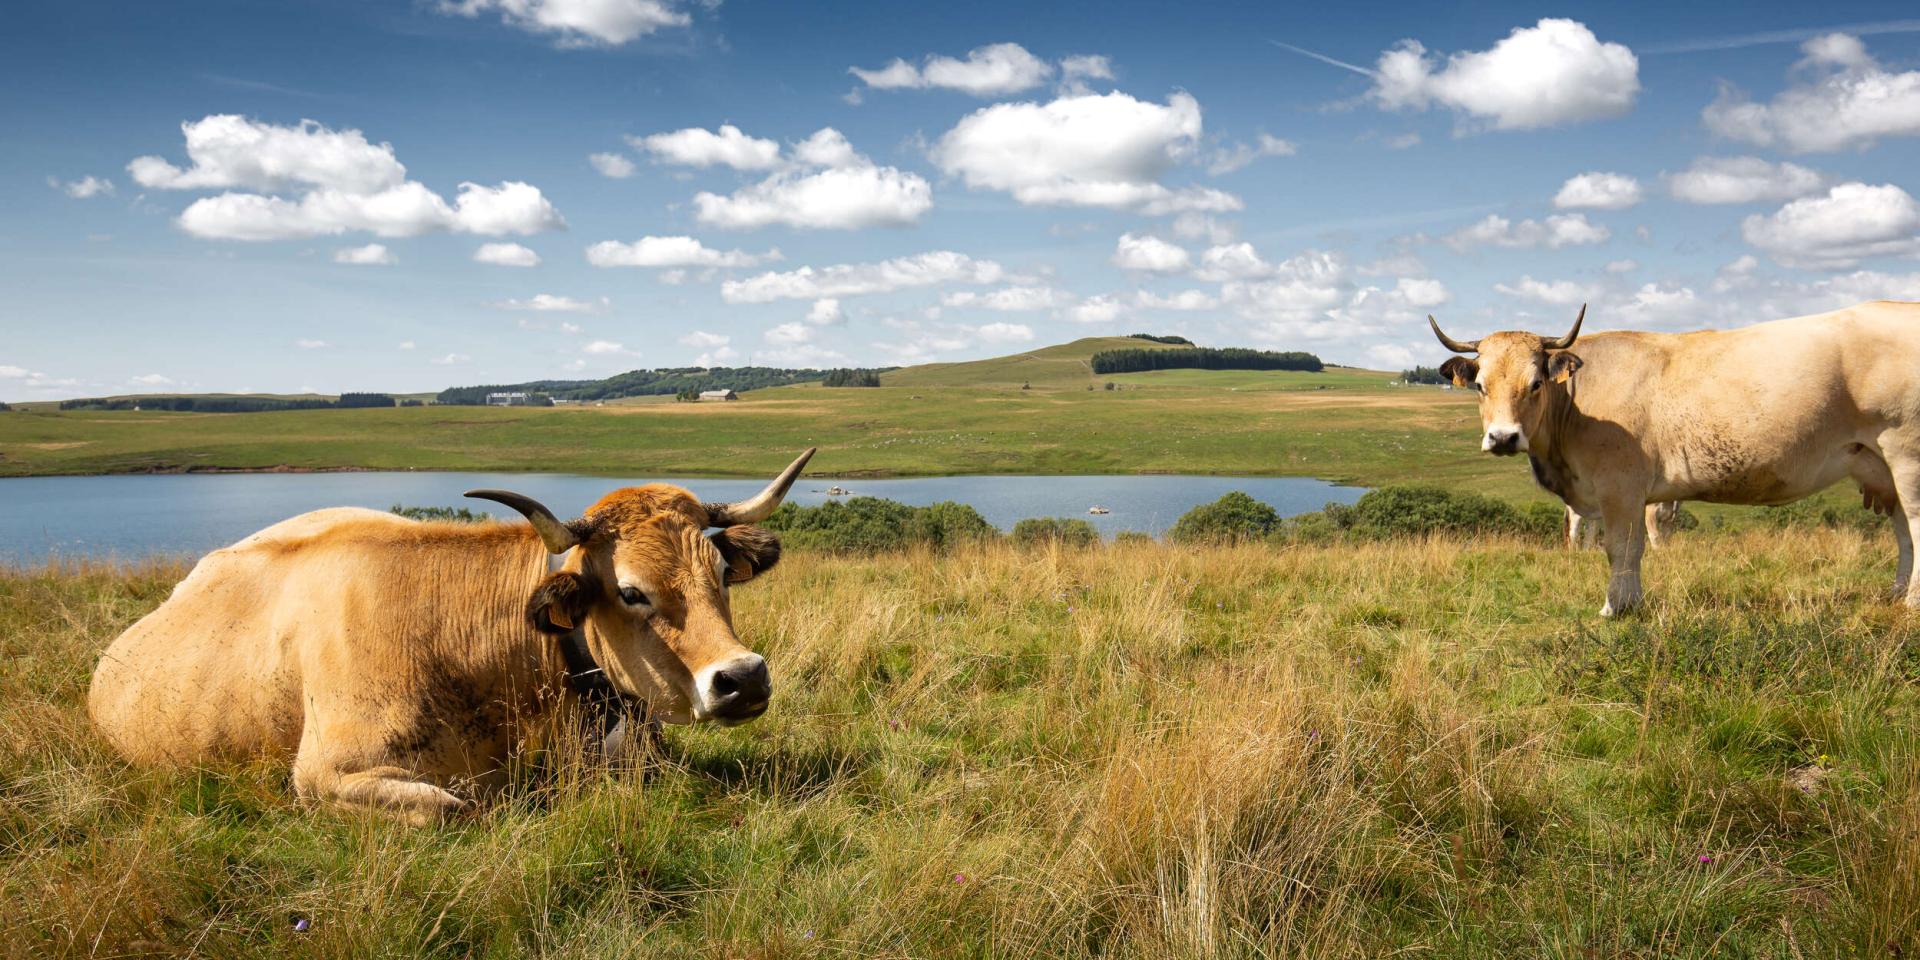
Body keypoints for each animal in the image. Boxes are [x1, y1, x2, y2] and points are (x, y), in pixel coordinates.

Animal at [1430, 300, 1920, 616]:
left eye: (1535, 383)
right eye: (1480, 385)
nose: (1503, 437)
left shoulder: (1620, 486)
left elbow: (1620, 547)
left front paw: (1616, 607)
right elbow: (1633, 548)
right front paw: (1633, 603)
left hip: (1907, 455)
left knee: (1914, 523)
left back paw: (1911, 602)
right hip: (1881, 466)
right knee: (1902, 532)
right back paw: (1896, 595)